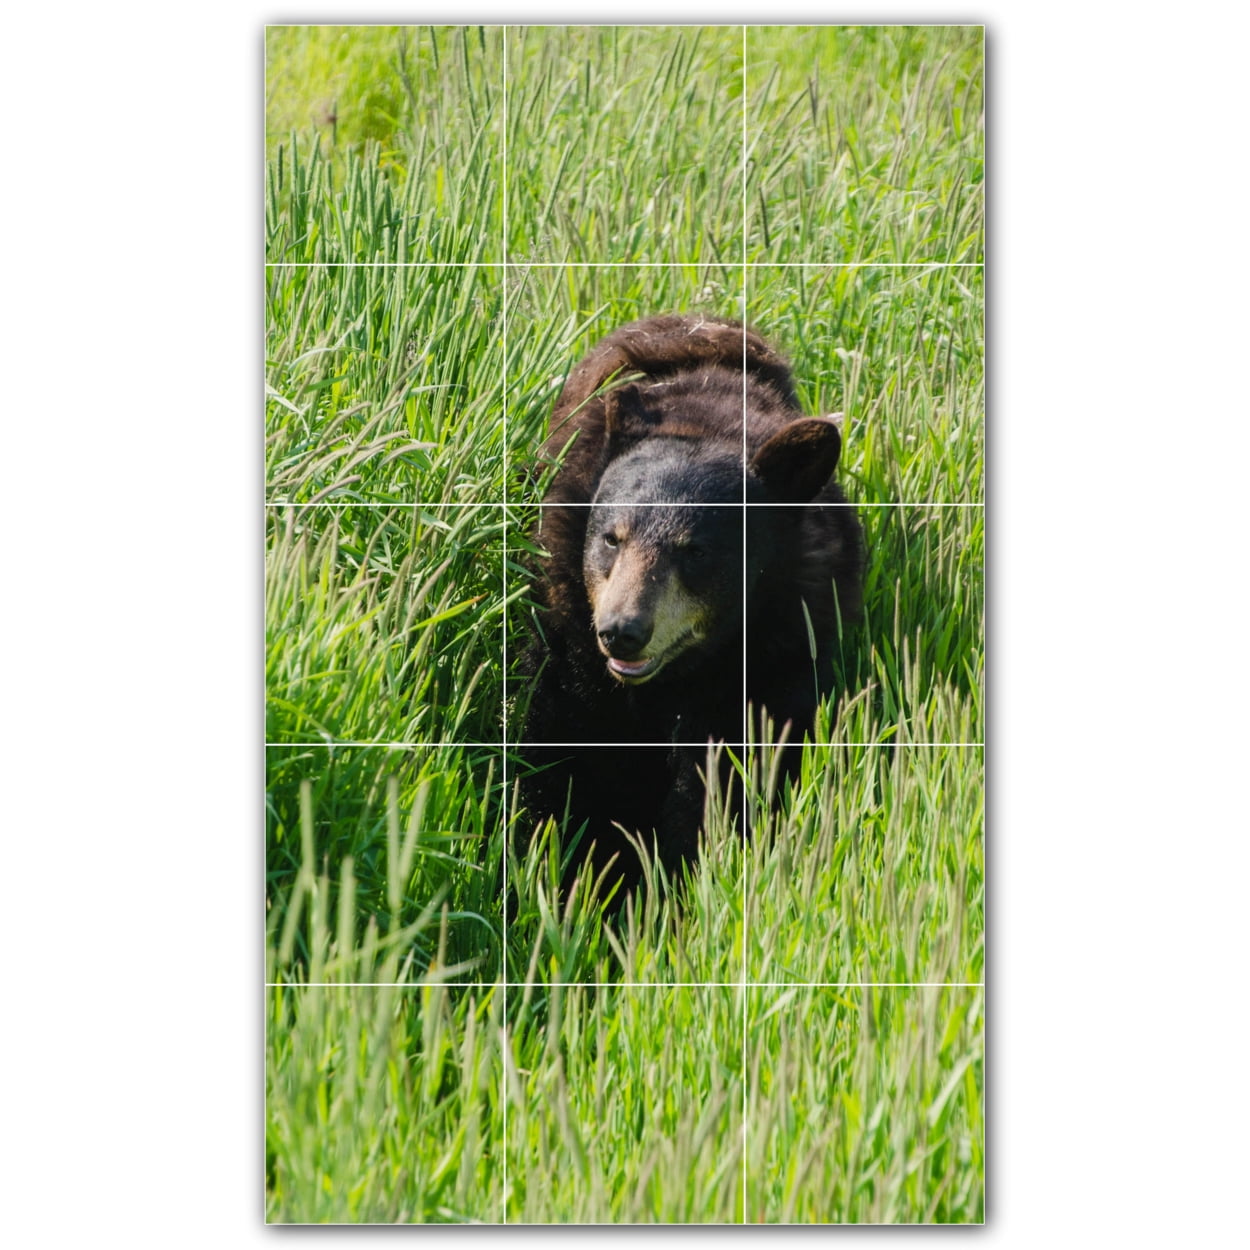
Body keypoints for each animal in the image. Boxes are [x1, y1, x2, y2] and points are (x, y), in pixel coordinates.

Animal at [516, 314, 864, 897]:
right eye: (612, 538)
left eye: (695, 550)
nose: (623, 630)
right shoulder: (569, 636)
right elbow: (563, 753)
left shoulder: (777, 650)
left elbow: (731, 775)